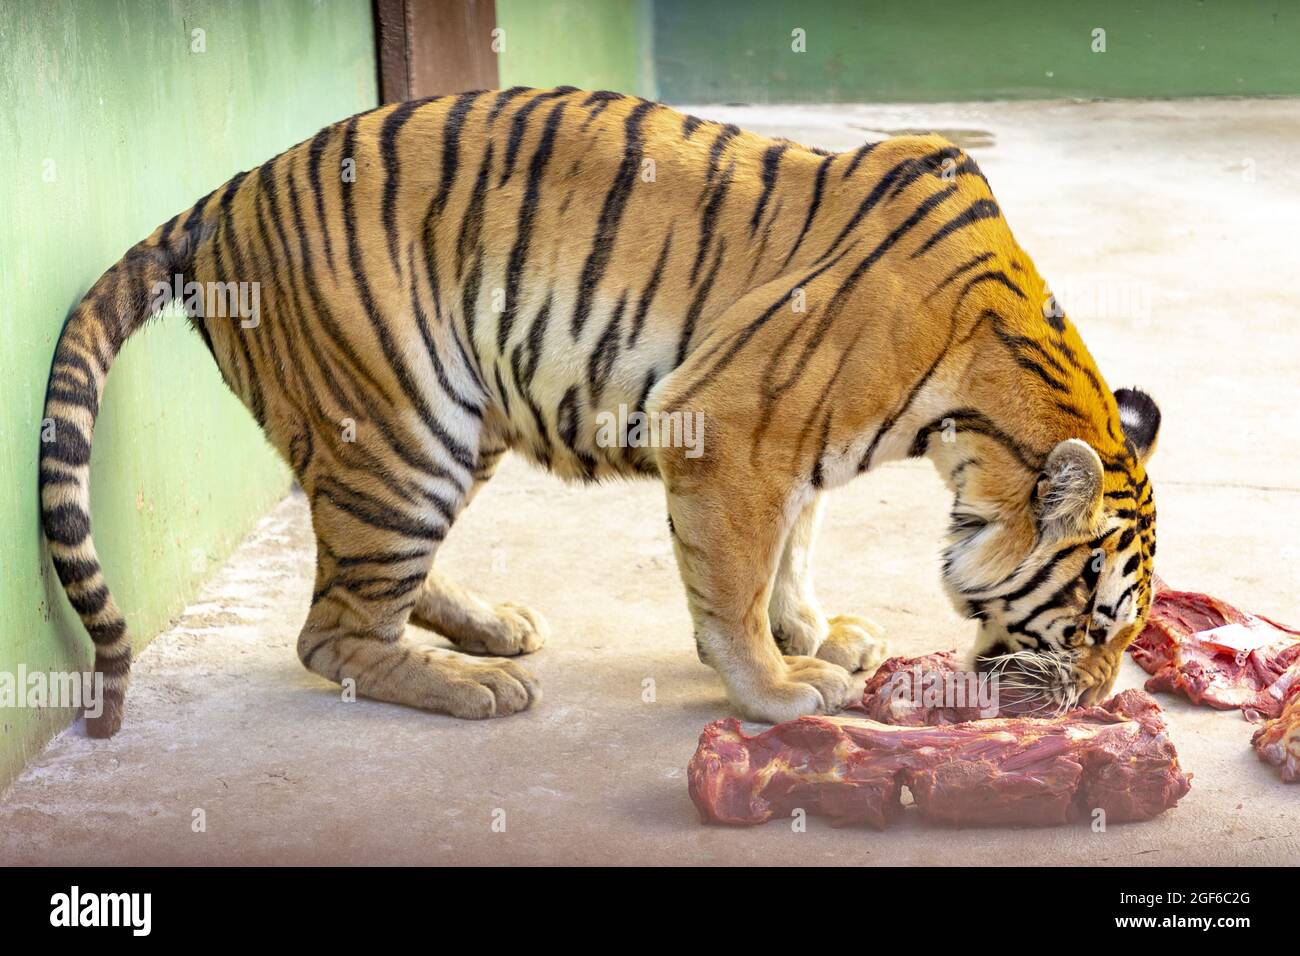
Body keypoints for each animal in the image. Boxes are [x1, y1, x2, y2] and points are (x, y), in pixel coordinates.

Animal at [39, 87, 1161, 738]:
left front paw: (815, 631)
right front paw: (779, 686)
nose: (1098, 701)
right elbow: (735, 583)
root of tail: (222, 198)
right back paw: (472, 687)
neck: (973, 418)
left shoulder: (797, 446)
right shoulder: (733, 425)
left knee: (357, 577)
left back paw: (493, 628)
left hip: (445, 423)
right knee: (330, 629)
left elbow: (793, 544)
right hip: (404, 429)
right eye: (1089, 623)